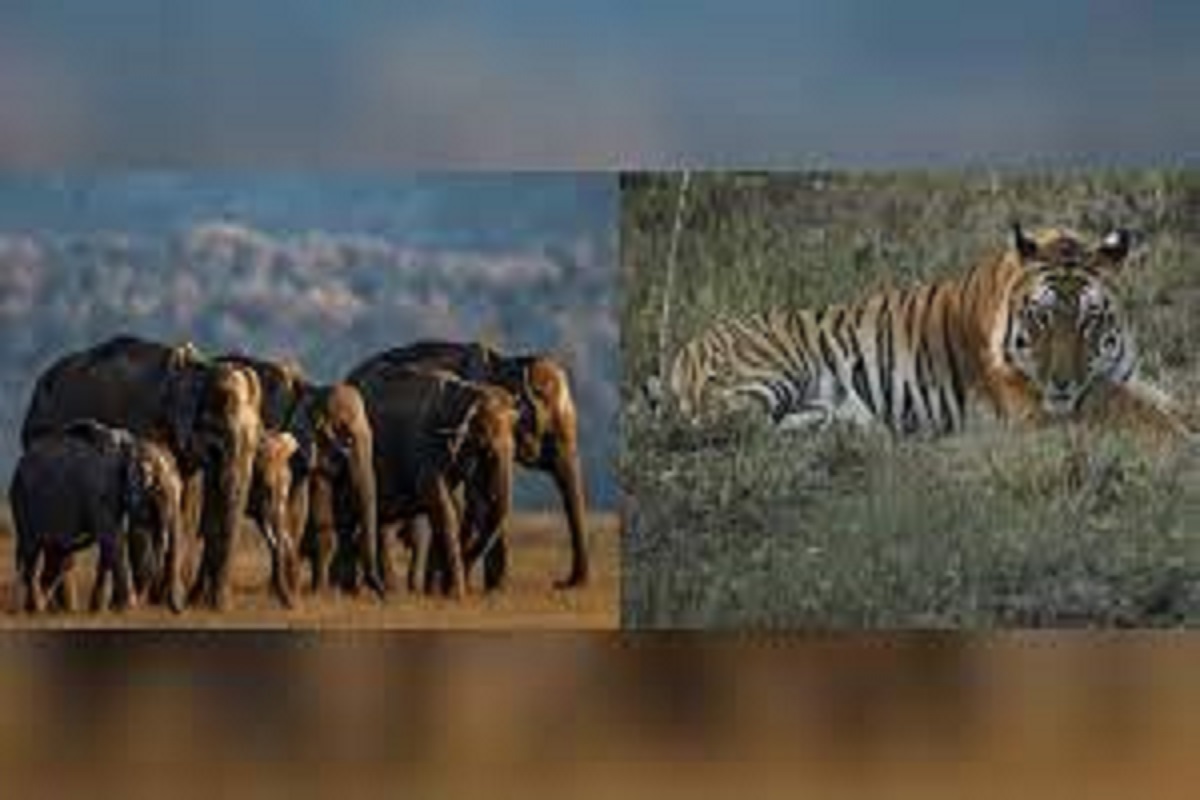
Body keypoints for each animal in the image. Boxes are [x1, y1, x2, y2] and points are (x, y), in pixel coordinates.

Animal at [658, 224, 1191, 441]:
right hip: (770, 372)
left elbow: (1167, 399)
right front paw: (1182, 436)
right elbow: (1123, 406)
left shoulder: (1125, 376)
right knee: (720, 423)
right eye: (1041, 318)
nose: (1060, 382)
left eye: (1088, 319)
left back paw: (844, 422)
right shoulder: (1036, 404)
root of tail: (683, 350)